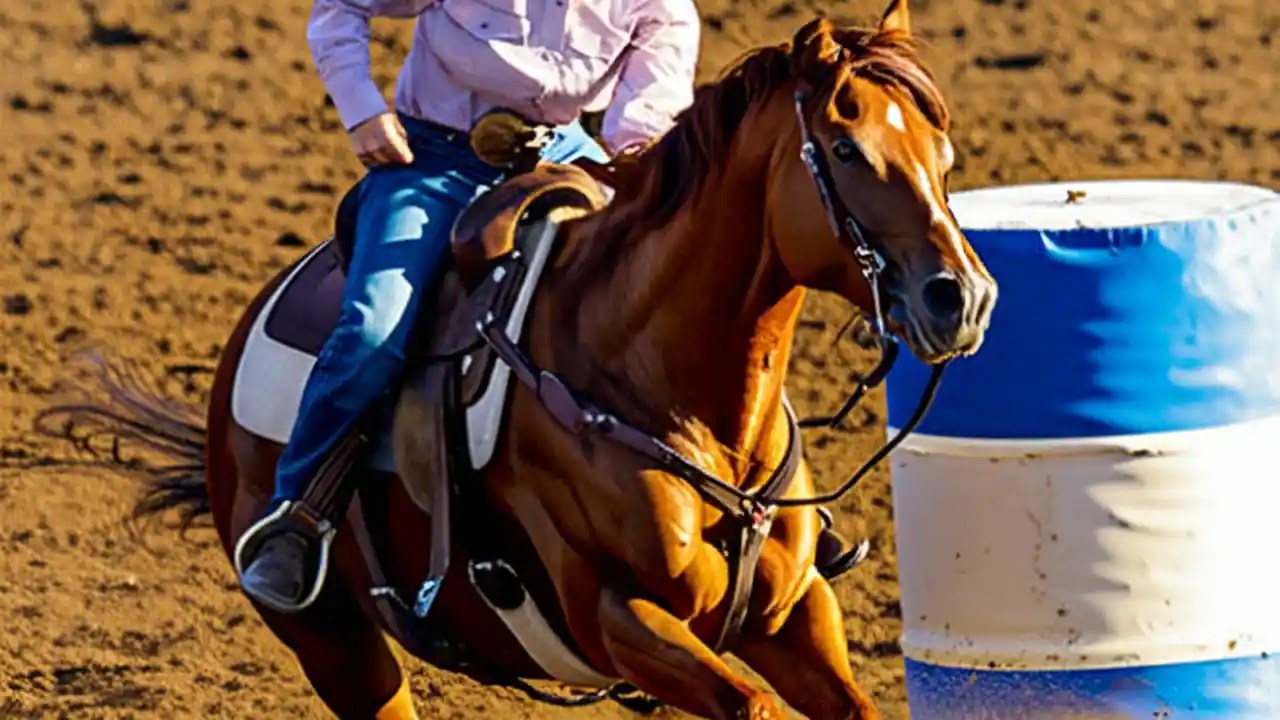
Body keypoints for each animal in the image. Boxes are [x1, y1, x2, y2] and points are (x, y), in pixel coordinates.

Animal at [42, 3, 996, 718]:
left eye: (944, 155)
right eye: (845, 149)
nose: (963, 299)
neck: (663, 388)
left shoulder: (795, 611)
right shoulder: (618, 616)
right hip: (335, 642)